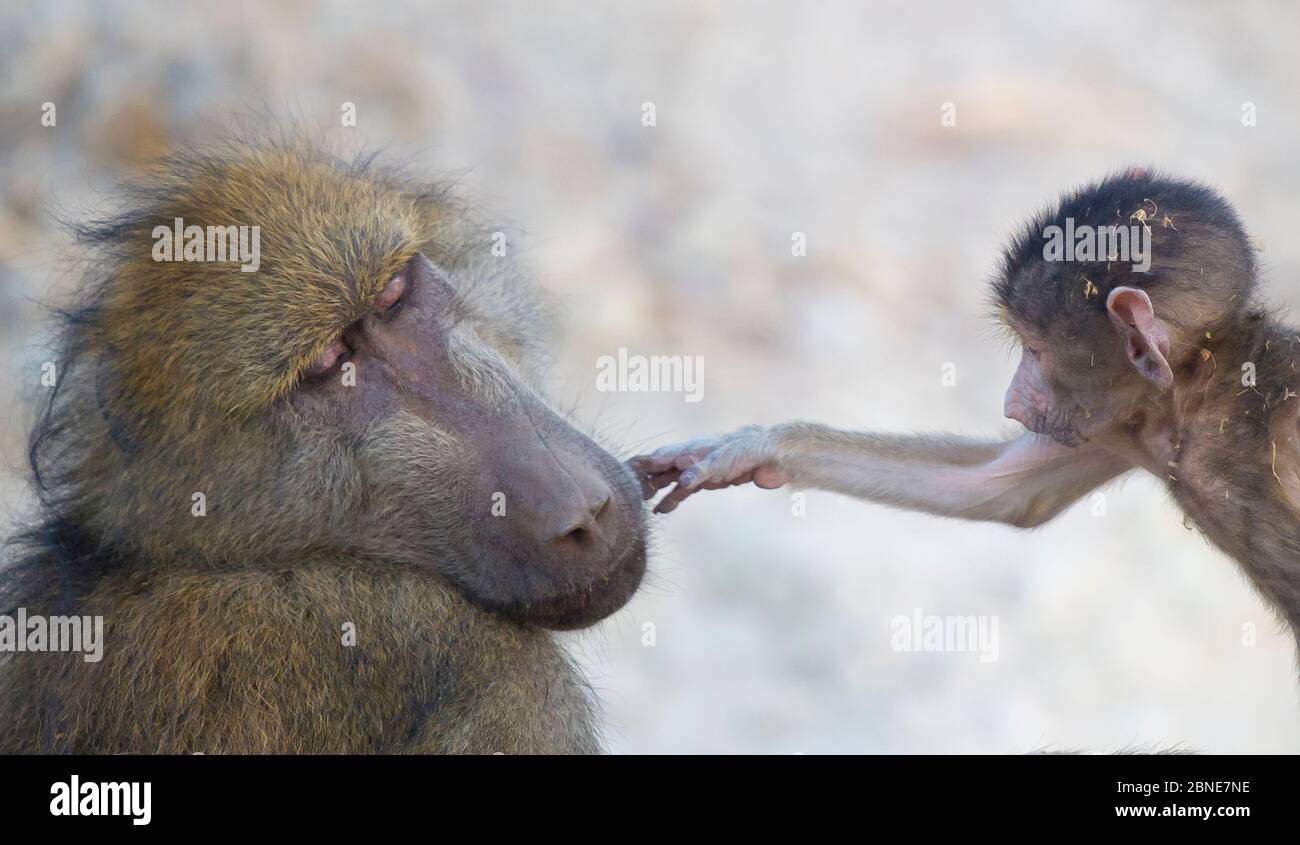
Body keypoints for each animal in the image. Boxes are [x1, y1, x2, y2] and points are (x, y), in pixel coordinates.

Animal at [634, 169, 1300, 657]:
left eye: (1033, 349)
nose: (1011, 401)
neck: (1195, 390)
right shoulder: (1119, 422)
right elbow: (999, 491)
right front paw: (754, 447)